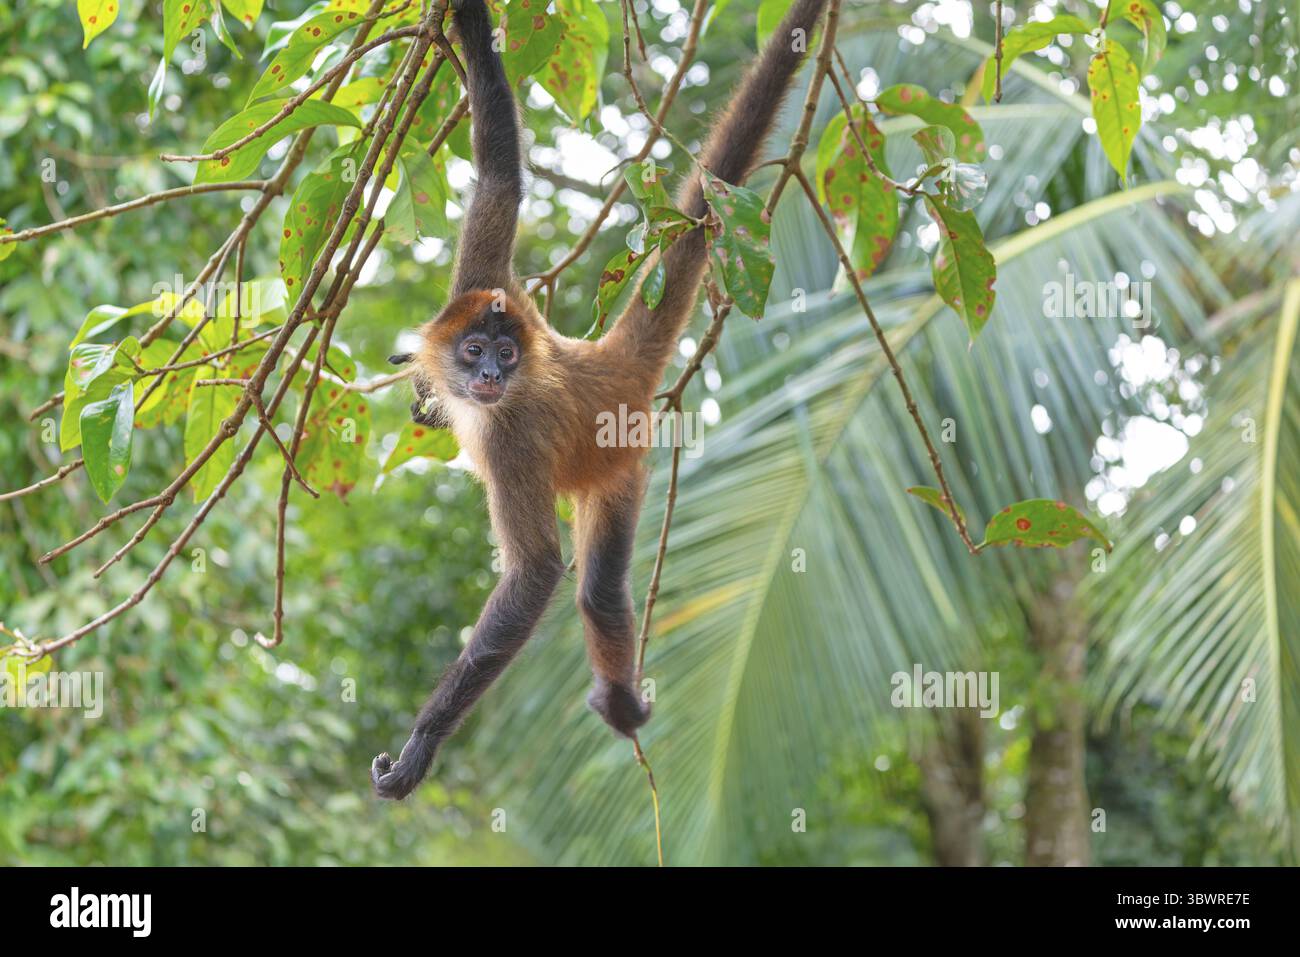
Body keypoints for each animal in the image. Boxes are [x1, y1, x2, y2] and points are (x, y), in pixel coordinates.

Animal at [371, 0, 831, 800]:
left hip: (622, 462)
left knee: (597, 592)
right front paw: (468, 23)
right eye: (474, 350)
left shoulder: (510, 435)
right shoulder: (482, 290)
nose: (490, 375)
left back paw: (619, 700)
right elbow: (500, 175)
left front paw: (422, 744)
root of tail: (609, 363)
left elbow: (536, 576)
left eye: (506, 357)